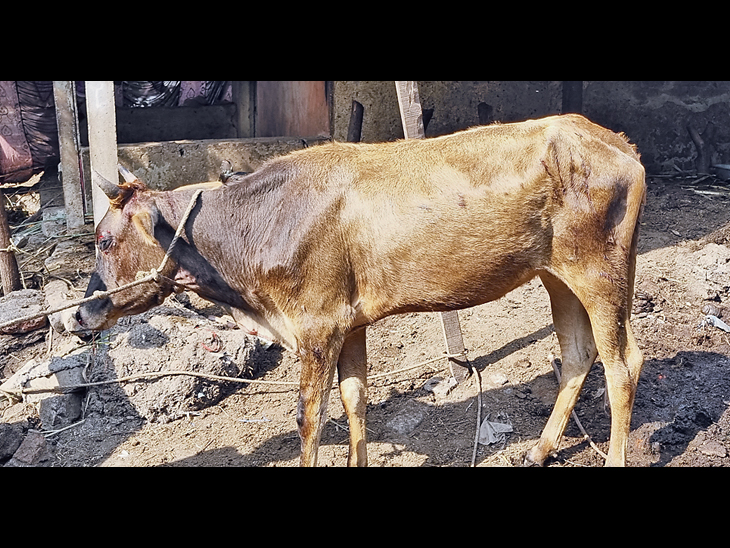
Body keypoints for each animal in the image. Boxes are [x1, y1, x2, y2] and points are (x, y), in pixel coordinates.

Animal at [75, 114, 646, 467]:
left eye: (103, 239)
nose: (76, 315)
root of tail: (616, 141)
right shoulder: (347, 323)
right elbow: (355, 399)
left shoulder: (317, 324)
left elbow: (309, 416)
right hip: (557, 274)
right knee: (578, 354)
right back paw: (539, 449)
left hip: (601, 271)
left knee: (623, 363)